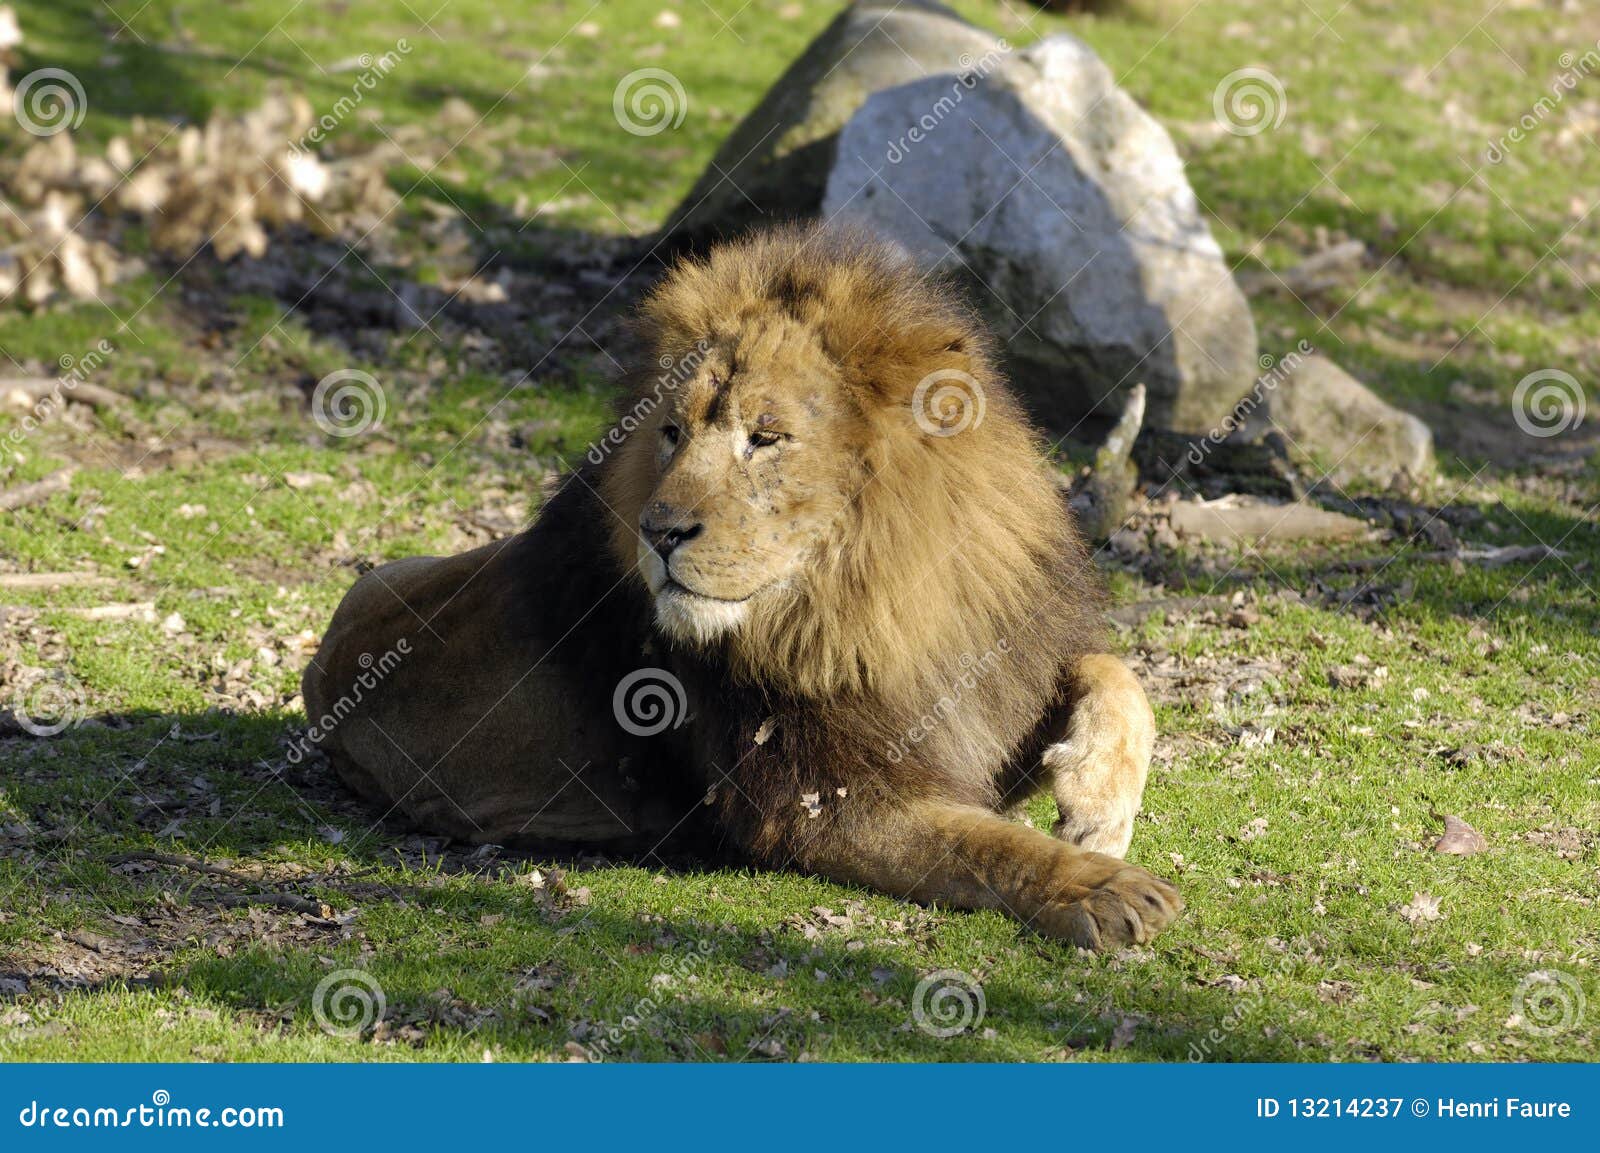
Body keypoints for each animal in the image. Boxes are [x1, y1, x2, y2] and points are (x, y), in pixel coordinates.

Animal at [302, 225, 1181, 948]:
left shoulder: (983, 688)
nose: (659, 531)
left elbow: (1116, 674)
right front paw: (1102, 887)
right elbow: (984, 843)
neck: (872, 604)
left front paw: (1098, 811)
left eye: (765, 438)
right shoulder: (824, 803)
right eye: (670, 433)